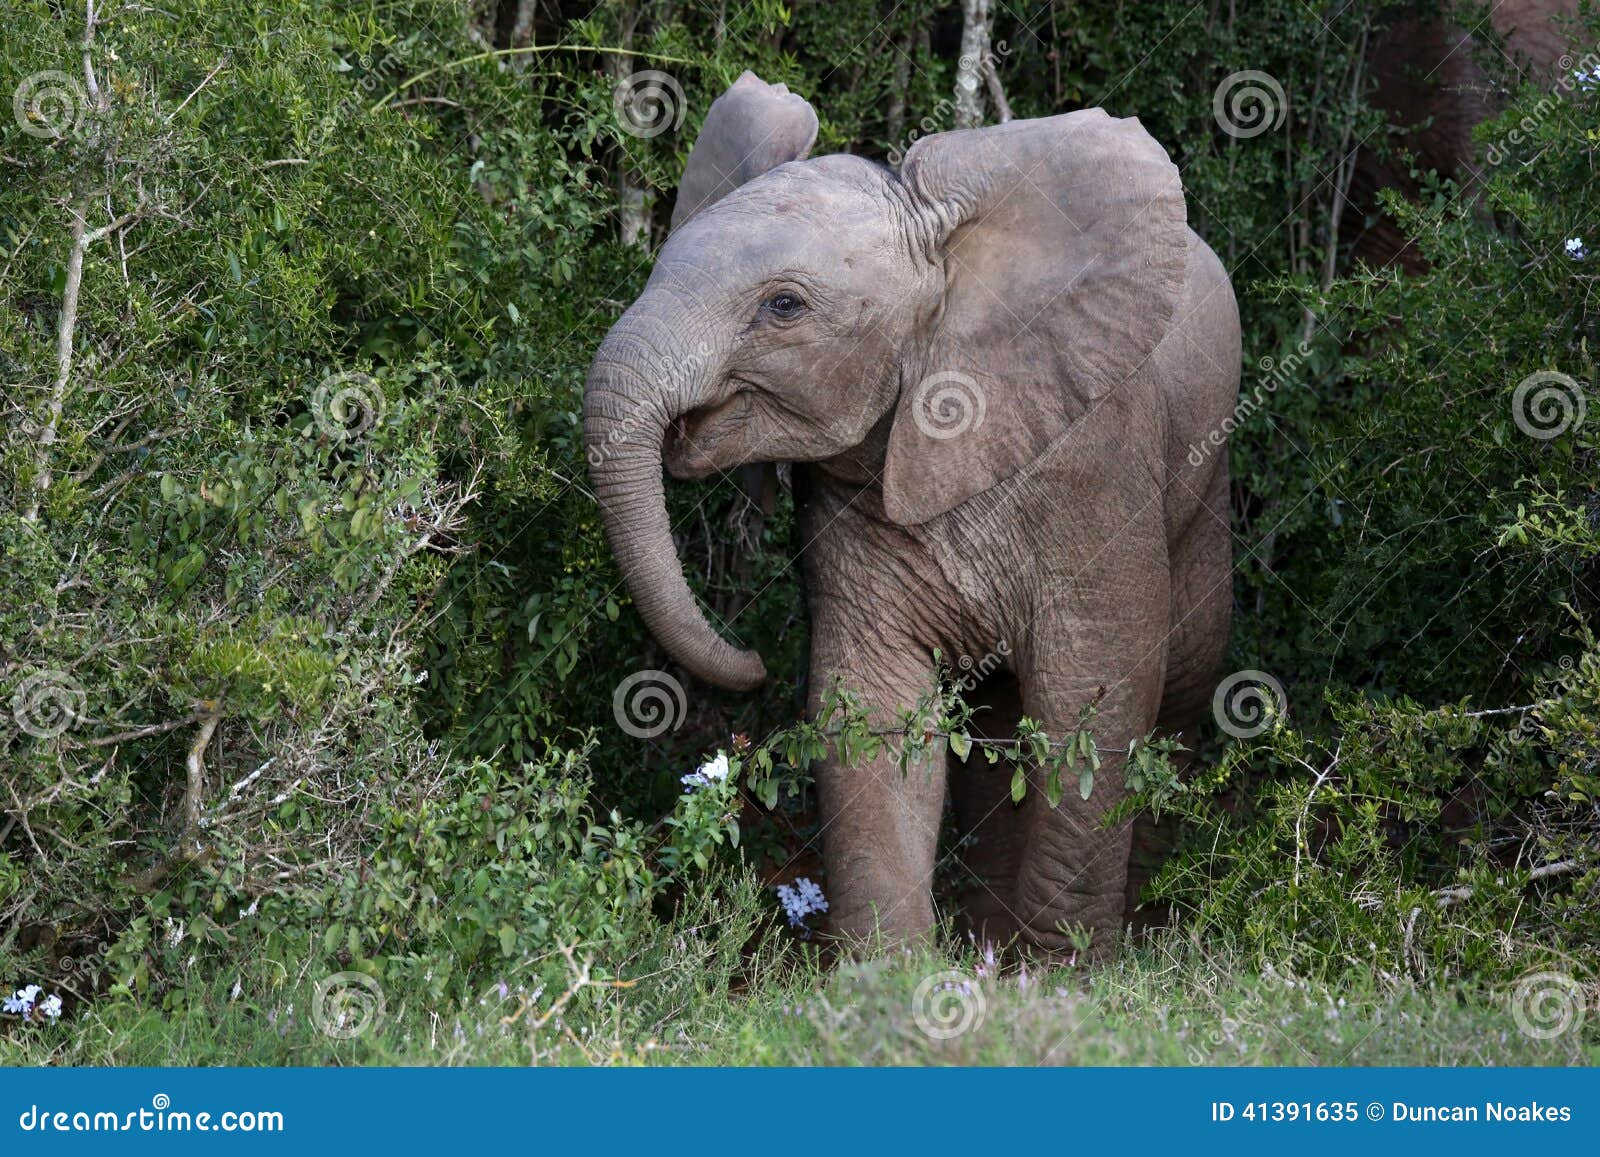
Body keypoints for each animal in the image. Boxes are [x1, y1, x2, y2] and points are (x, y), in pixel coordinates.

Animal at [585, 74, 1235, 960]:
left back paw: (1138, 931)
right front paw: (889, 970)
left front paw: (1070, 969)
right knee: (997, 726)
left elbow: (1095, 695)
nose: (749, 663)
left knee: (1182, 686)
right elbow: (874, 697)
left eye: (783, 306)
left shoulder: (1095, 457)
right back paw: (990, 942)